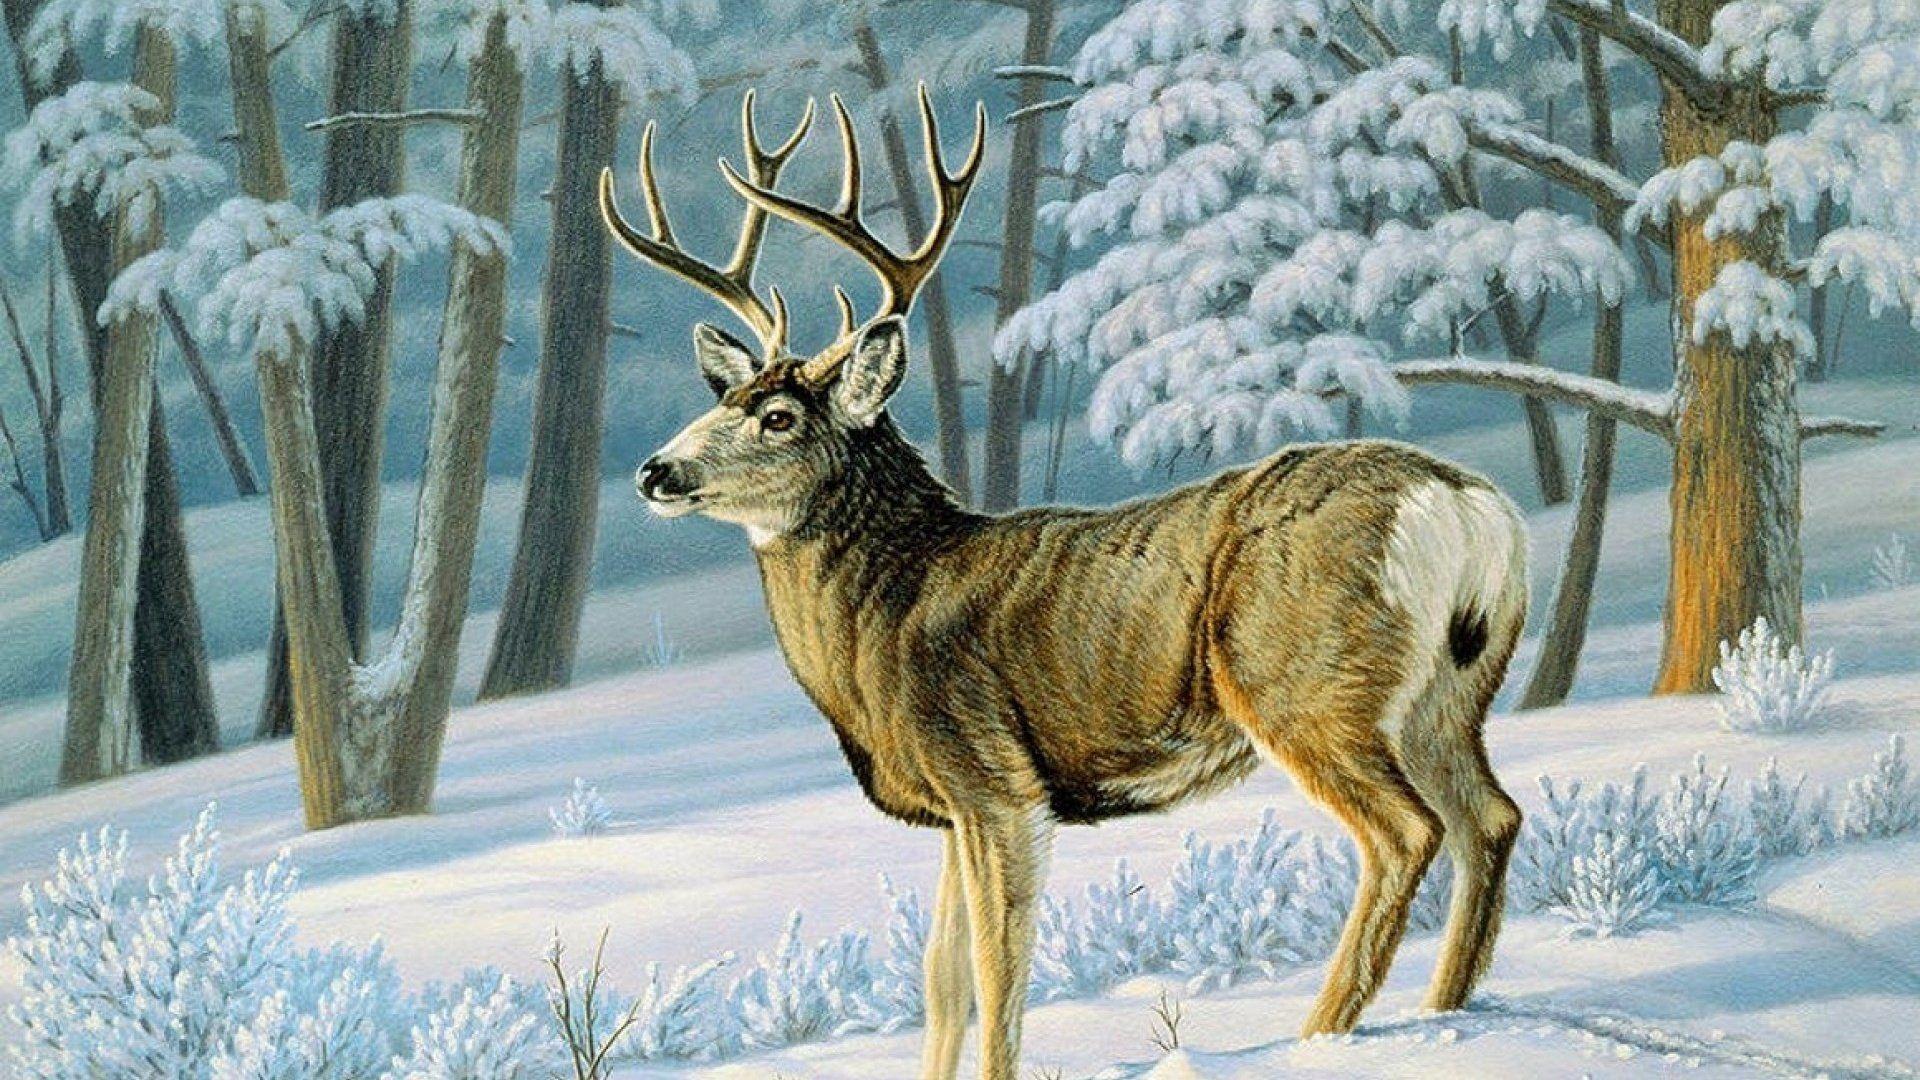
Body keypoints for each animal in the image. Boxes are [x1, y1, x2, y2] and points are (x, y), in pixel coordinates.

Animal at [600, 87, 1530, 1080]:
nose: (656, 471)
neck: (885, 614)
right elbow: (942, 982)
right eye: (723, 399)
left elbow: (1000, 972)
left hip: (1305, 683)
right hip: (1448, 694)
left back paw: (1322, 1033)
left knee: (1407, 834)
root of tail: (1468, 509)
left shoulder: (994, 778)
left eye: (776, 416)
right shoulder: (953, 809)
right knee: (1491, 818)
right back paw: (1445, 1009)